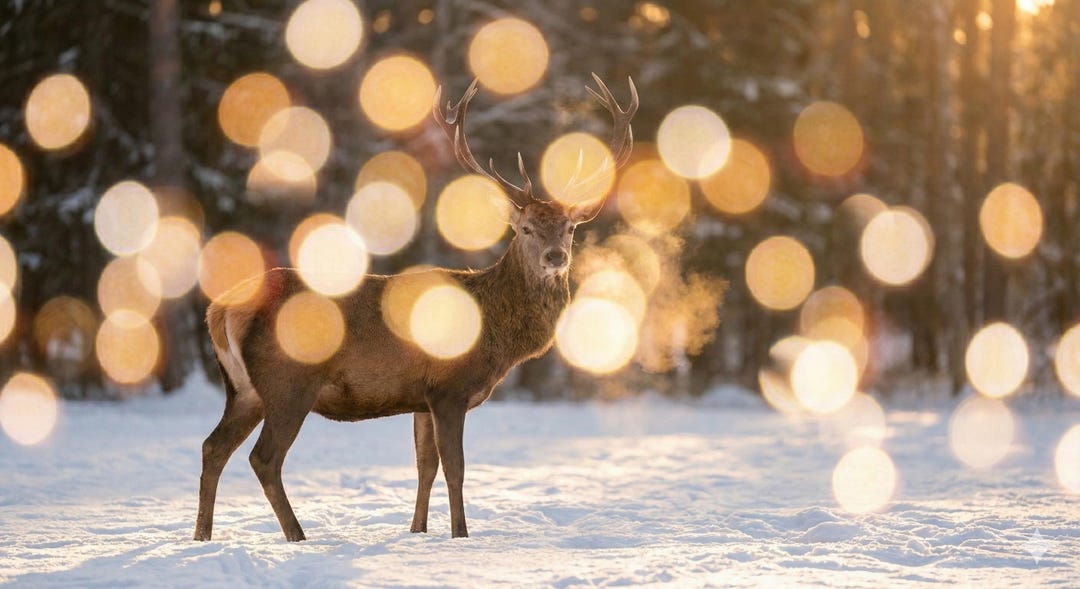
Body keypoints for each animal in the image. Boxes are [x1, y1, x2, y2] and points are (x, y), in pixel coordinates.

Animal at [193, 73, 637, 542]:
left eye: (569, 228)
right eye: (526, 228)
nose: (556, 257)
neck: (496, 334)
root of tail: (220, 311)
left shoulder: (421, 399)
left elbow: (425, 467)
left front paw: (417, 530)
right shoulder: (449, 388)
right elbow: (455, 469)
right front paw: (460, 534)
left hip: (244, 389)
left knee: (212, 447)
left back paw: (201, 536)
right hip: (288, 382)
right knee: (263, 458)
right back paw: (297, 535)